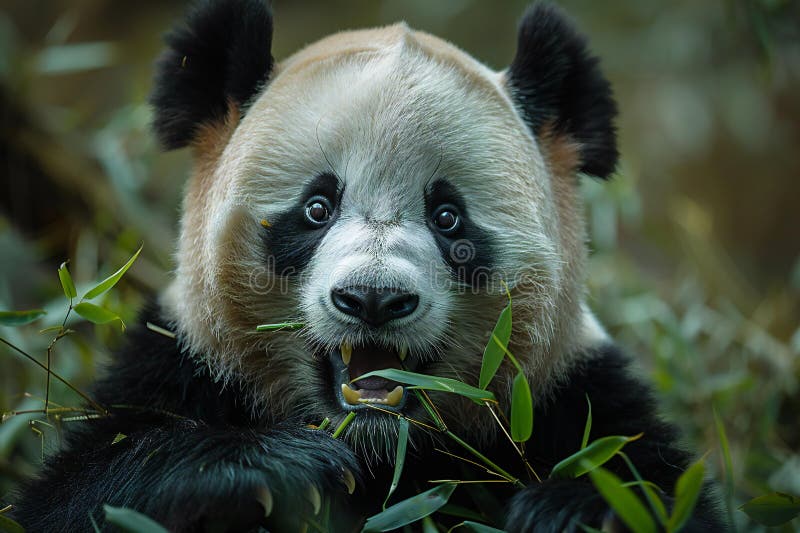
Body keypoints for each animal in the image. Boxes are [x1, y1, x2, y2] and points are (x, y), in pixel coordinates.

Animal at [11, 1, 726, 531]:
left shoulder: (572, 395)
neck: (383, 449)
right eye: (317, 207)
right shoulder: (180, 365)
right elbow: (78, 494)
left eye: (448, 217)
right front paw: (270, 471)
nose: (373, 300)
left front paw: (577, 512)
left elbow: (655, 490)